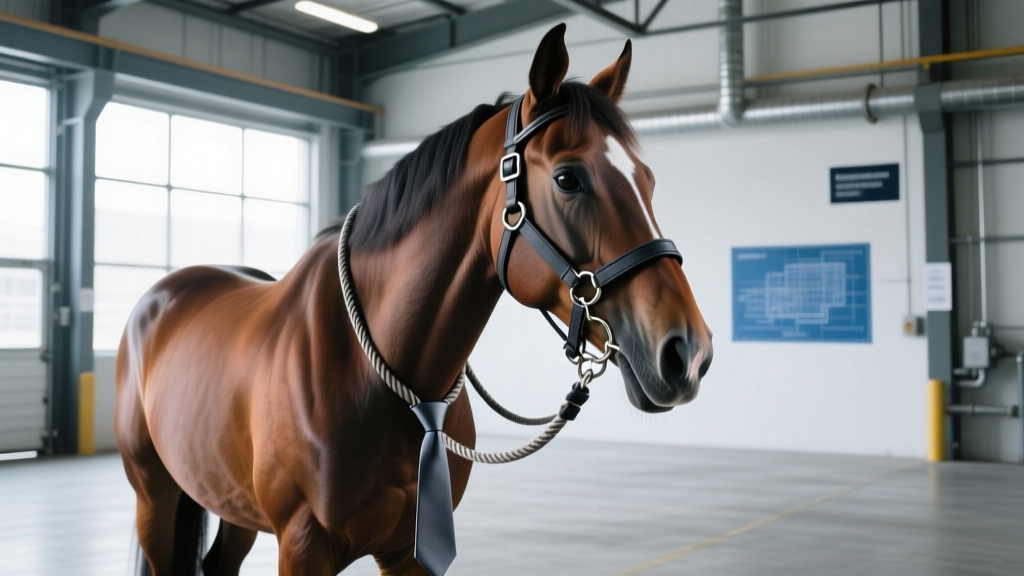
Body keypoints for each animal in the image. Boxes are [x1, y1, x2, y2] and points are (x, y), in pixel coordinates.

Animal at [115, 23, 713, 576]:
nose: (689, 352)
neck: (383, 378)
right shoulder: (302, 547)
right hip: (154, 495)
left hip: (231, 502)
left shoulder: (409, 553)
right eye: (569, 178)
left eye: (648, 180)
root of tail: (164, 294)